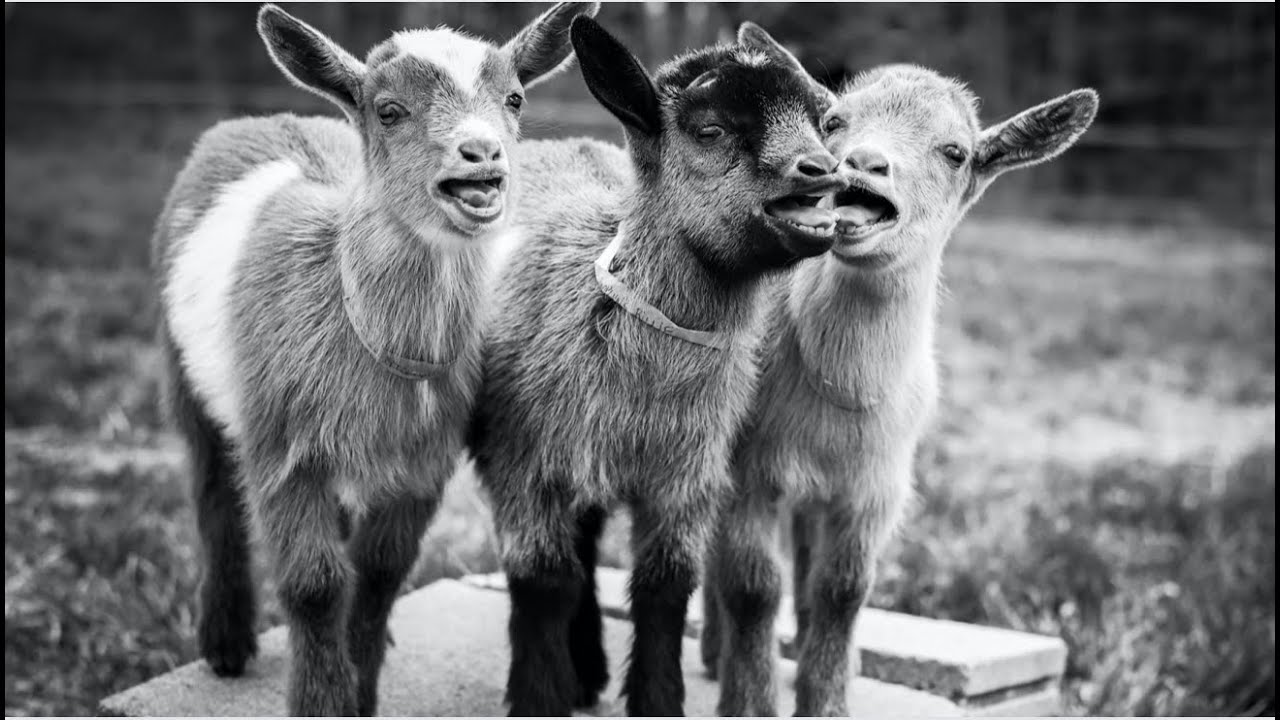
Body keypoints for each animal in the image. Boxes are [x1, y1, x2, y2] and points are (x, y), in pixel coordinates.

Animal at [152, 3, 598, 714]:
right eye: (388, 110)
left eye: (515, 99)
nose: (482, 153)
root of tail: (250, 120)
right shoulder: (282, 450)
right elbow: (311, 585)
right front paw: (321, 699)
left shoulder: (422, 460)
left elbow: (379, 574)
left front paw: (358, 687)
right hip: (183, 372)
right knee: (213, 492)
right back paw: (224, 643)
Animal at [469, 17, 848, 717]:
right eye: (711, 130)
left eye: (822, 120)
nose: (820, 170)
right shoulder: (524, 462)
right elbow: (542, 583)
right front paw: (540, 695)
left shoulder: (686, 475)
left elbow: (665, 590)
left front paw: (653, 697)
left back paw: (589, 670)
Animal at [701, 63, 1099, 716]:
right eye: (833, 122)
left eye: (956, 152)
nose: (863, 161)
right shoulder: (750, 470)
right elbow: (753, 588)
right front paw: (752, 702)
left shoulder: (875, 485)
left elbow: (843, 590)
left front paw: (827, 700)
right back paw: (717, 656)